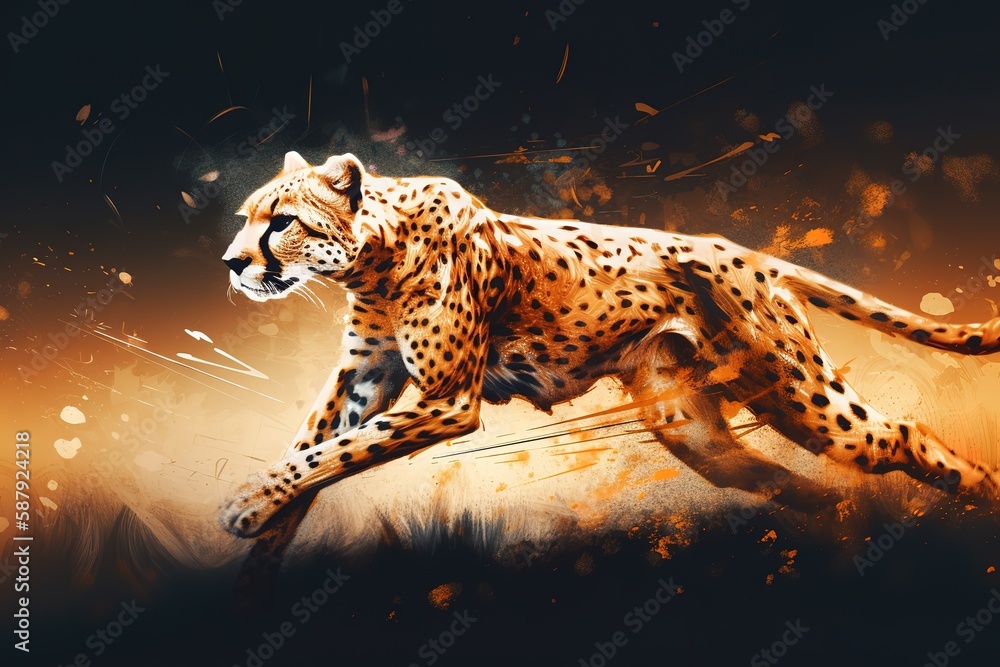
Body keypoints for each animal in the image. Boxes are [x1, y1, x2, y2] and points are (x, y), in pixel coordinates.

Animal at [220, 151, 1000, 545]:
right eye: (247, 218)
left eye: (281, 221)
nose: (232, 262)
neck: (371, 260)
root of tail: (743, 251)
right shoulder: (365, 374)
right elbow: (317, 447)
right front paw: (265, 538)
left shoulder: (447, 400)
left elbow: (332, 452)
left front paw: (248, 503)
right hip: (692, 425)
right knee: (790, 483)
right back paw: (840, 527)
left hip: (802, 396)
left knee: (897, 434)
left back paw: (979, 499)